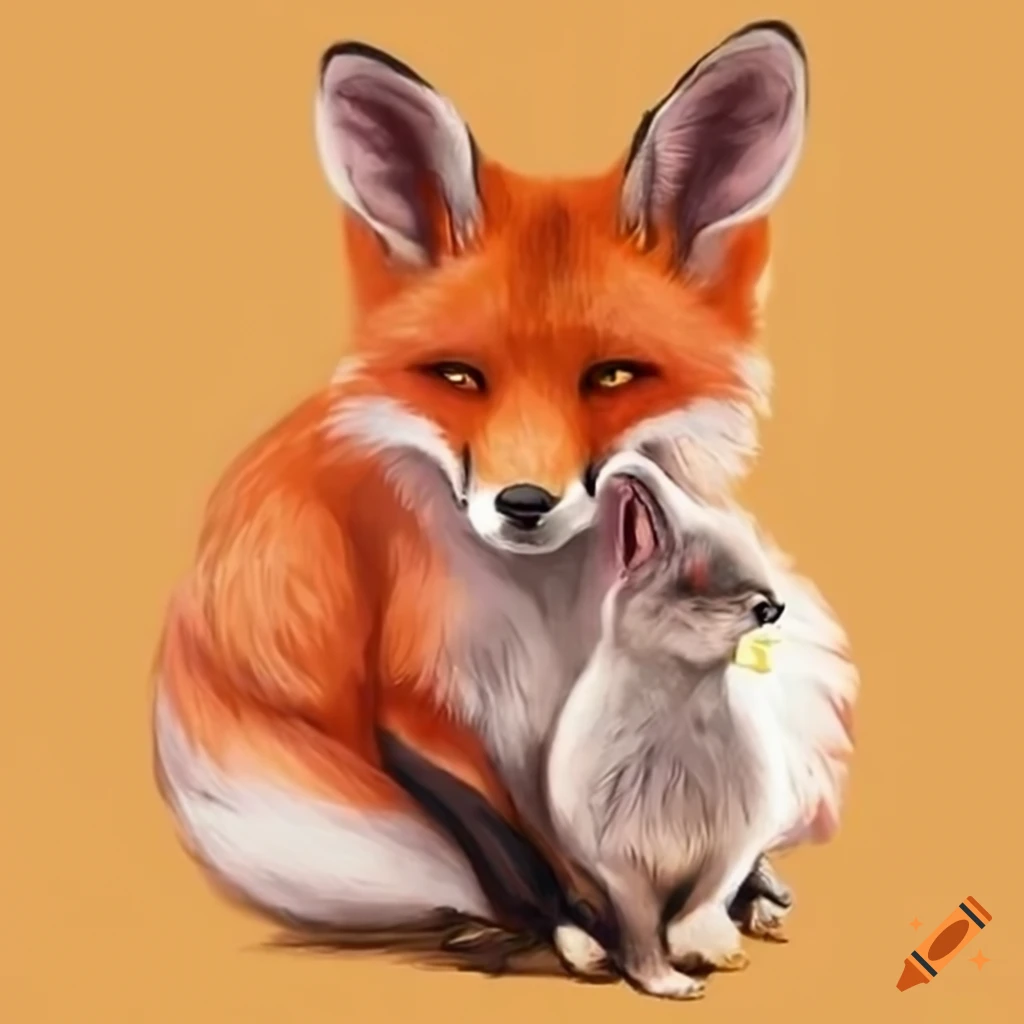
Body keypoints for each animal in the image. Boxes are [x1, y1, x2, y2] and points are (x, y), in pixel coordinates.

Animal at [152, 21, 856, 949]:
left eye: (612, 375)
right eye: (459, 376)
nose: (523, 504)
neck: (558, 618)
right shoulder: (416, 702)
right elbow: (514, 847)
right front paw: (576, 927)